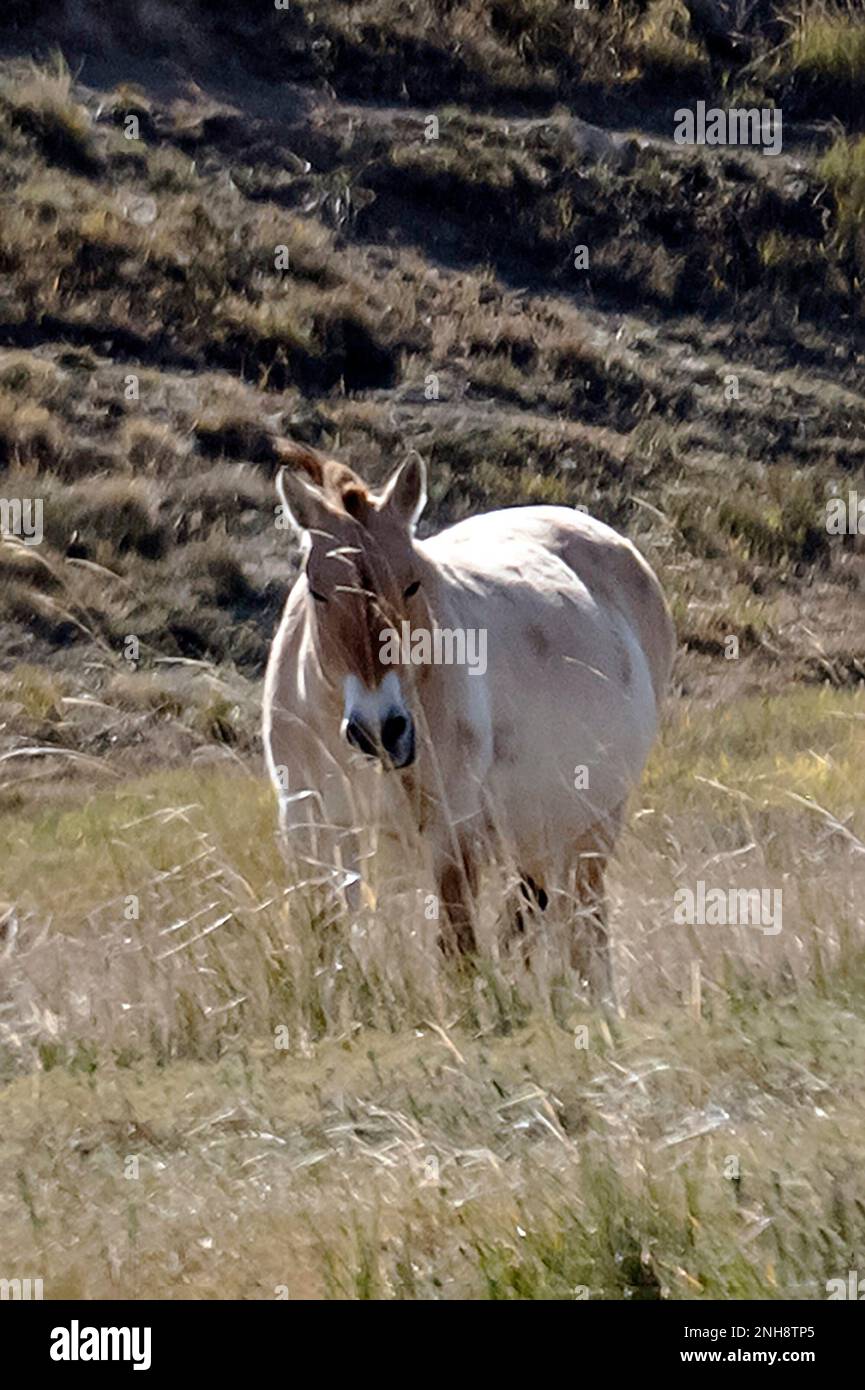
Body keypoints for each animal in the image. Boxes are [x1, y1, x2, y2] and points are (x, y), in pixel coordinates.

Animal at [262, 442, 675, 1002]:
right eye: (318, 591)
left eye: (412, 584)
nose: (379, 730)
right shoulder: (309, 821)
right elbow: (326, 937)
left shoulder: (451, 829)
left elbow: (457, 946)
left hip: (595, 821)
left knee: (584, 927)